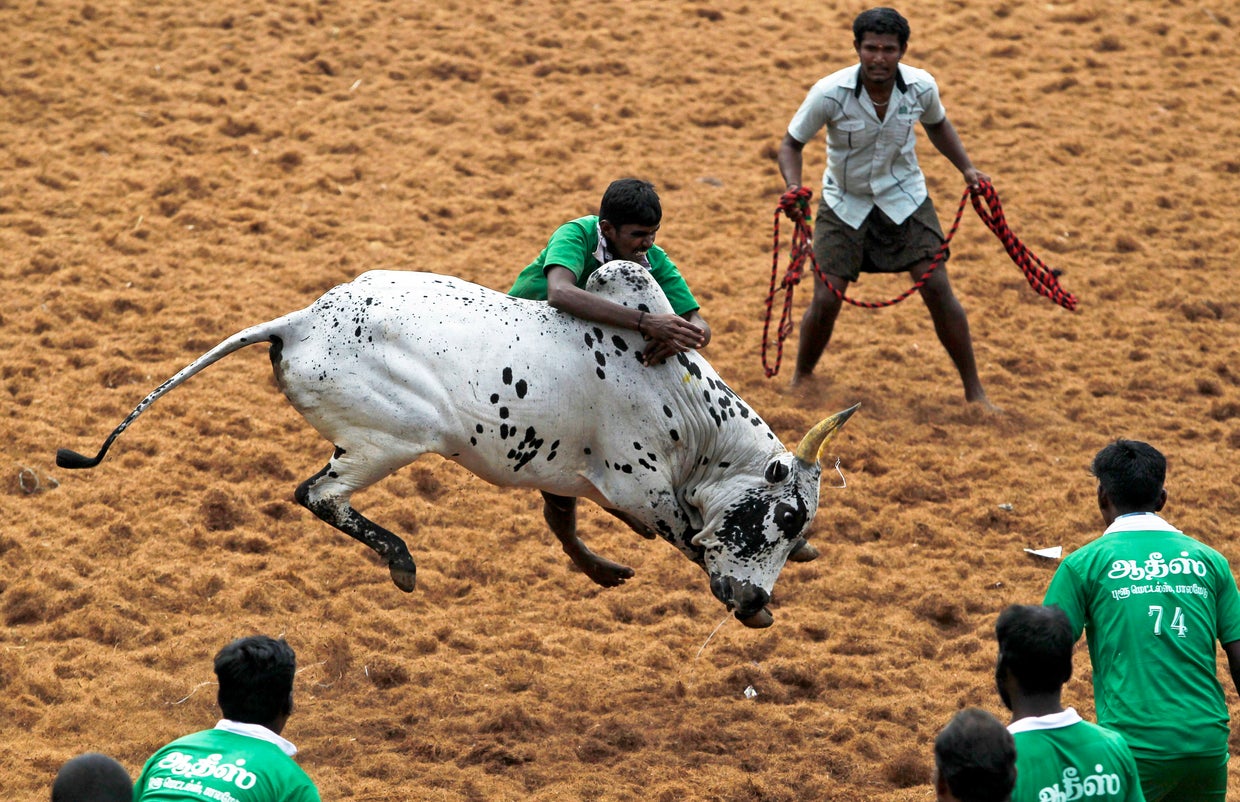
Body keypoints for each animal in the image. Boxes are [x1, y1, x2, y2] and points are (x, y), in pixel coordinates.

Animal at [57, 261, 858, 627]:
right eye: (785, 515)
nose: (752, 597)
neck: (685, 405)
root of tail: (300, 321)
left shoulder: (573, 476)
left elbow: (572, 520)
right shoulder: (639, 486)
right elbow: (686, 534)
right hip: (394, 439)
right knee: (315, 493)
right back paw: (403, 562)